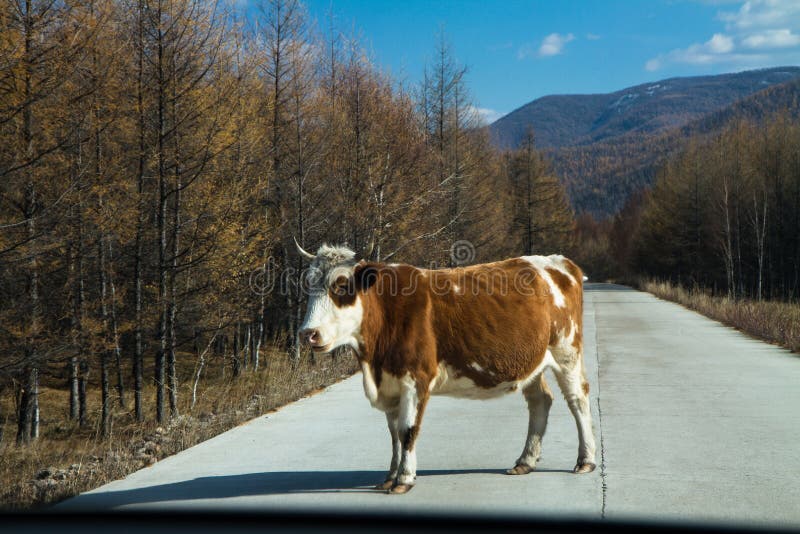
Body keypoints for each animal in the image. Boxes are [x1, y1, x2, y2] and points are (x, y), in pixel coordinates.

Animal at [295, 240, 596, 494]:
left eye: (341, 285)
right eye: (308, 285)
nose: (308, 333)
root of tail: (557, 261)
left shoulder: (416, 378)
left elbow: (408, 430)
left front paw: (405, 479)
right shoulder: (390, 383)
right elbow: (394, 434)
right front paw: (390, 477)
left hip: (566, 351)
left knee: (577, 399)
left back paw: (586, 459)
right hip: (532, 361)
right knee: (540, 401)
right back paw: (525, 461)